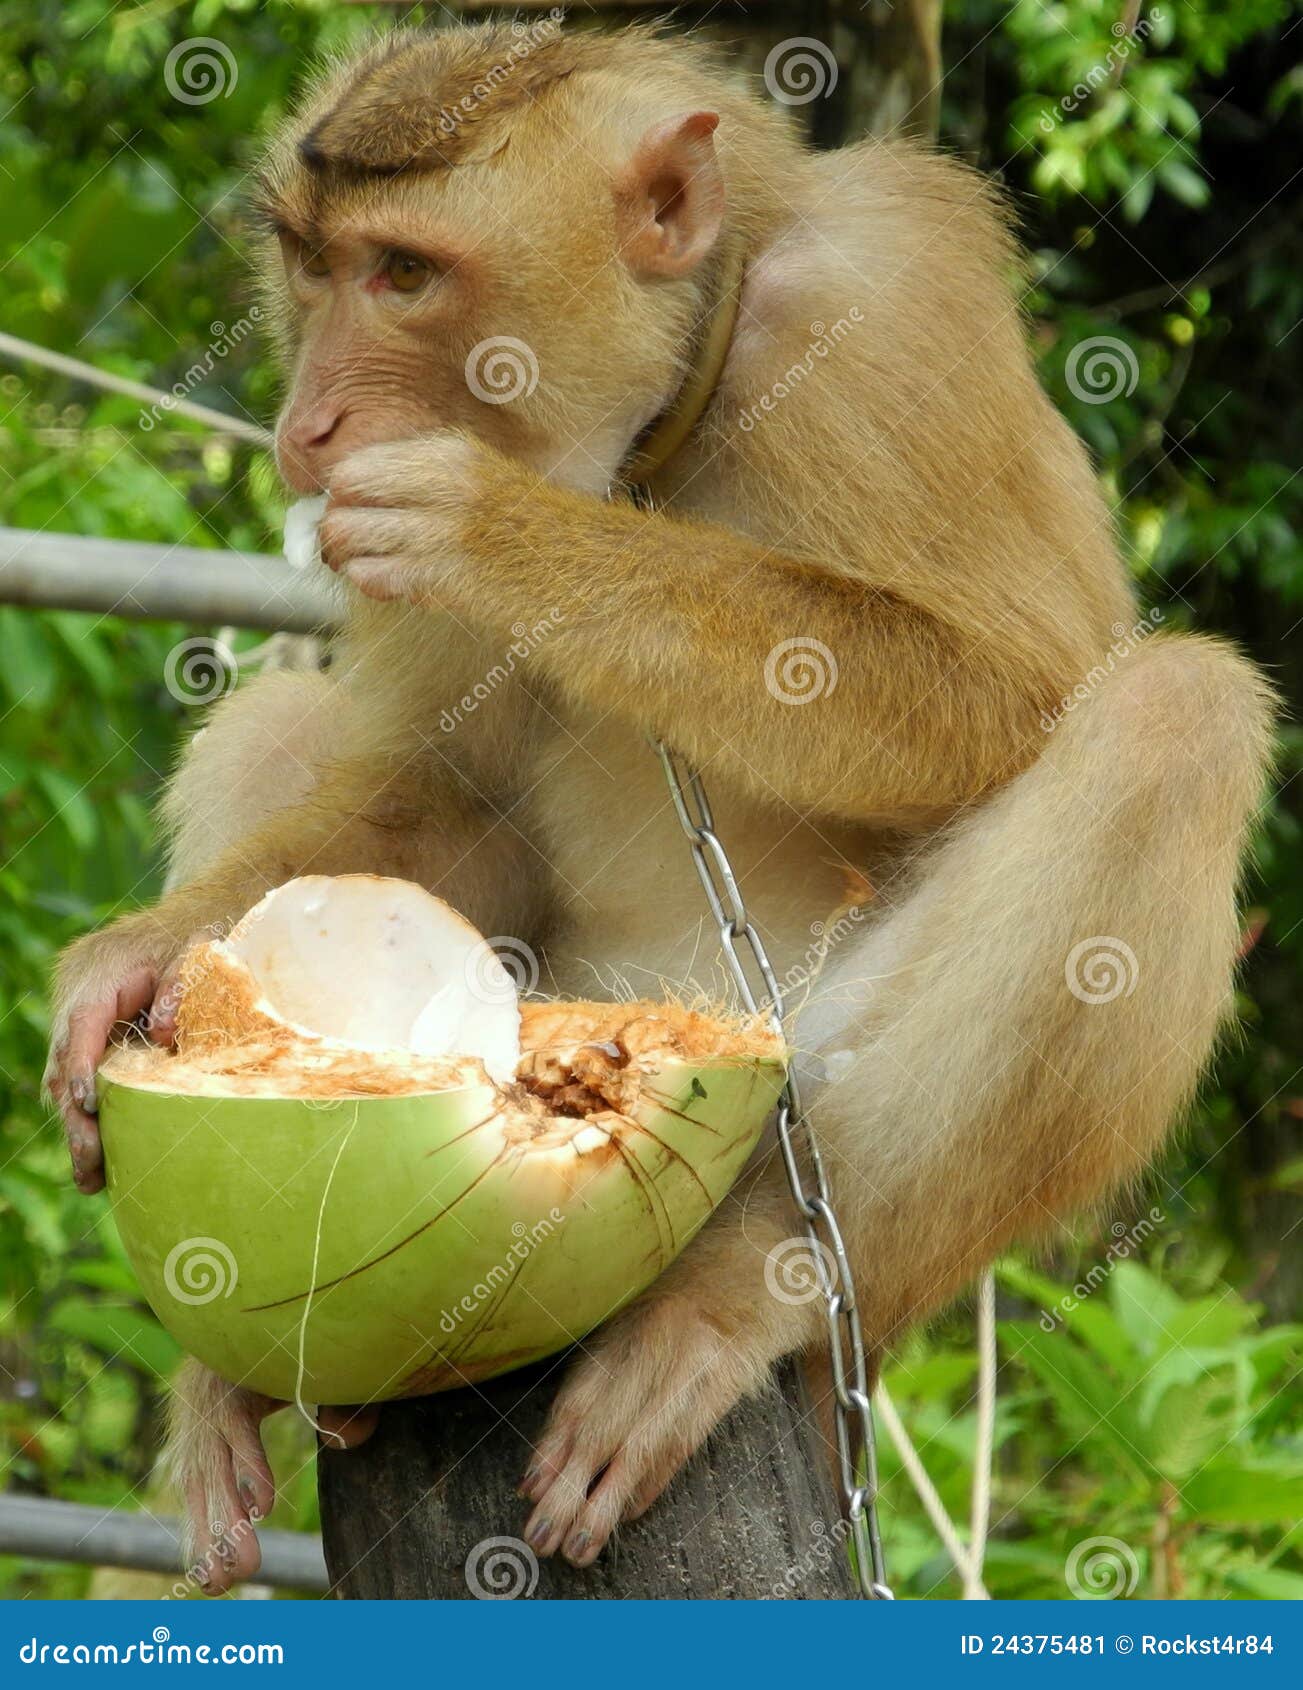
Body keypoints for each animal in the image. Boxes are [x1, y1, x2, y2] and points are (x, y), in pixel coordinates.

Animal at [46, 22, 1273, 1594]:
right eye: (311, 267)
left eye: (405, 274)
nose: (306, 426)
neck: (653, 427)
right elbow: (453, 794)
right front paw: (130, 965)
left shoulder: (891, 298)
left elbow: (1019, 682)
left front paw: (507, 535)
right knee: (281, 722)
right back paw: (239, 1379)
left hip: (807, 1144)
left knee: (1167, 719)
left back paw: (743, 1297)